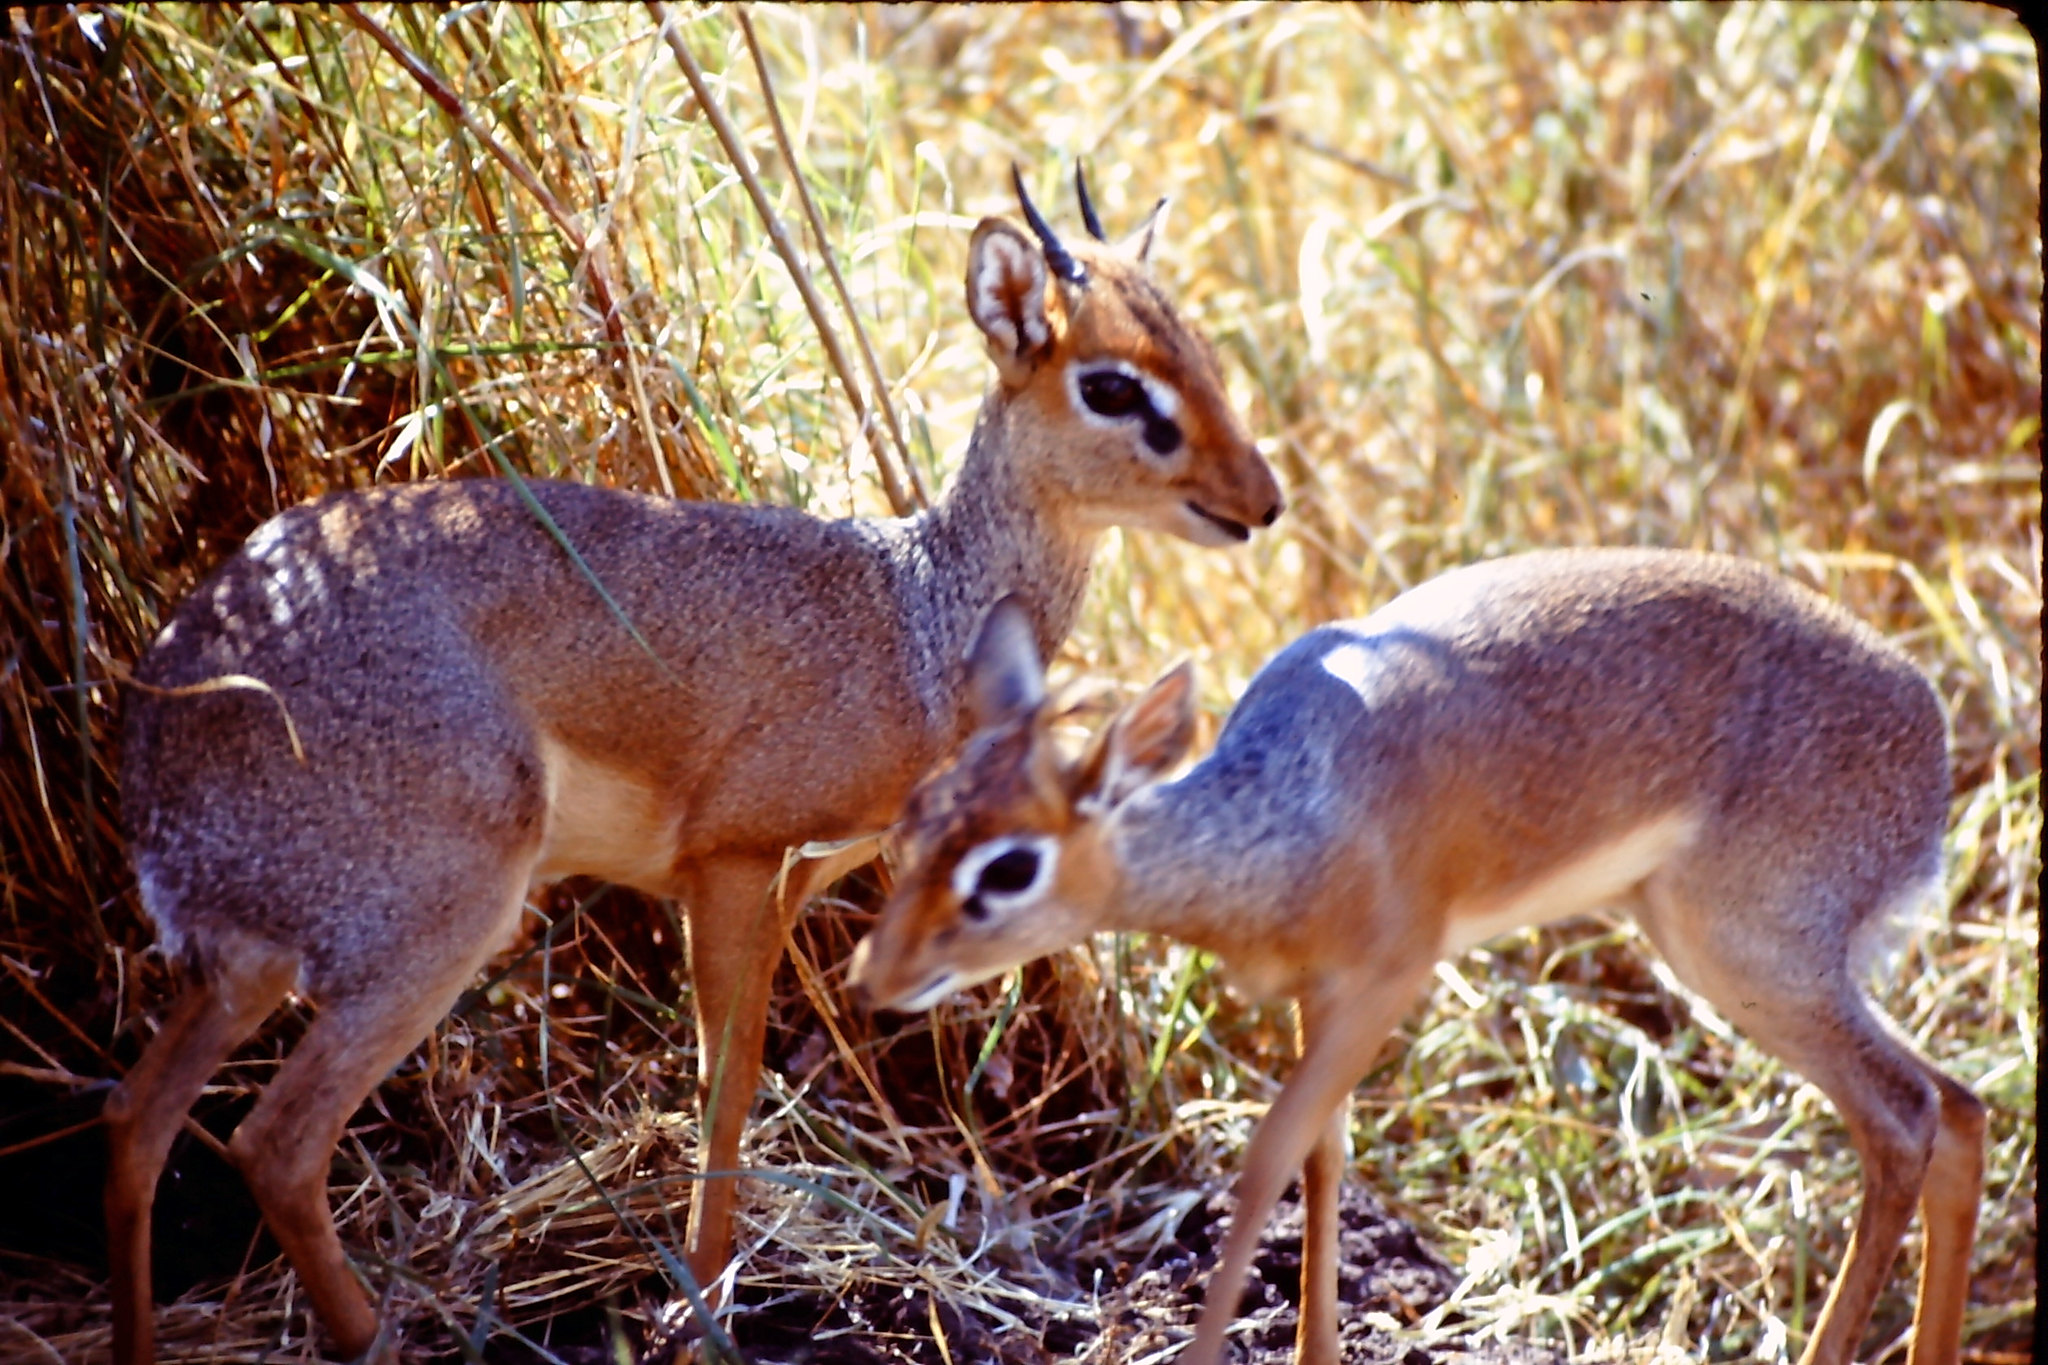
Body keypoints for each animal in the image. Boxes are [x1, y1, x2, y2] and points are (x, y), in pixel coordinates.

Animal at [107, 168, 1283, 1364]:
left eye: (1196, 348)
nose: (1260, 500)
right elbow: (729, 1081)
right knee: (273, 1141)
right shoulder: (738, 864)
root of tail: (161, 743)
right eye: (1112, 385)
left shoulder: (770, 886)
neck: (915, 623)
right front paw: (702, 1305)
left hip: (248, 963)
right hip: (428, 928)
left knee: (135, 1119)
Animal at [850, 549, 1983, 1365]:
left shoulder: (1390, 981)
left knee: (1903, 1116)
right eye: (919, 814)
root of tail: (1929, 734)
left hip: (1750, 959)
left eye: (1008, 865)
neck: (1294, 812)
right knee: (1958, 1107)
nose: (876, 976)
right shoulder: (1319, 997)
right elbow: (1323, 1155)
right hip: (1734, 960)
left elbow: (1264, 1159)